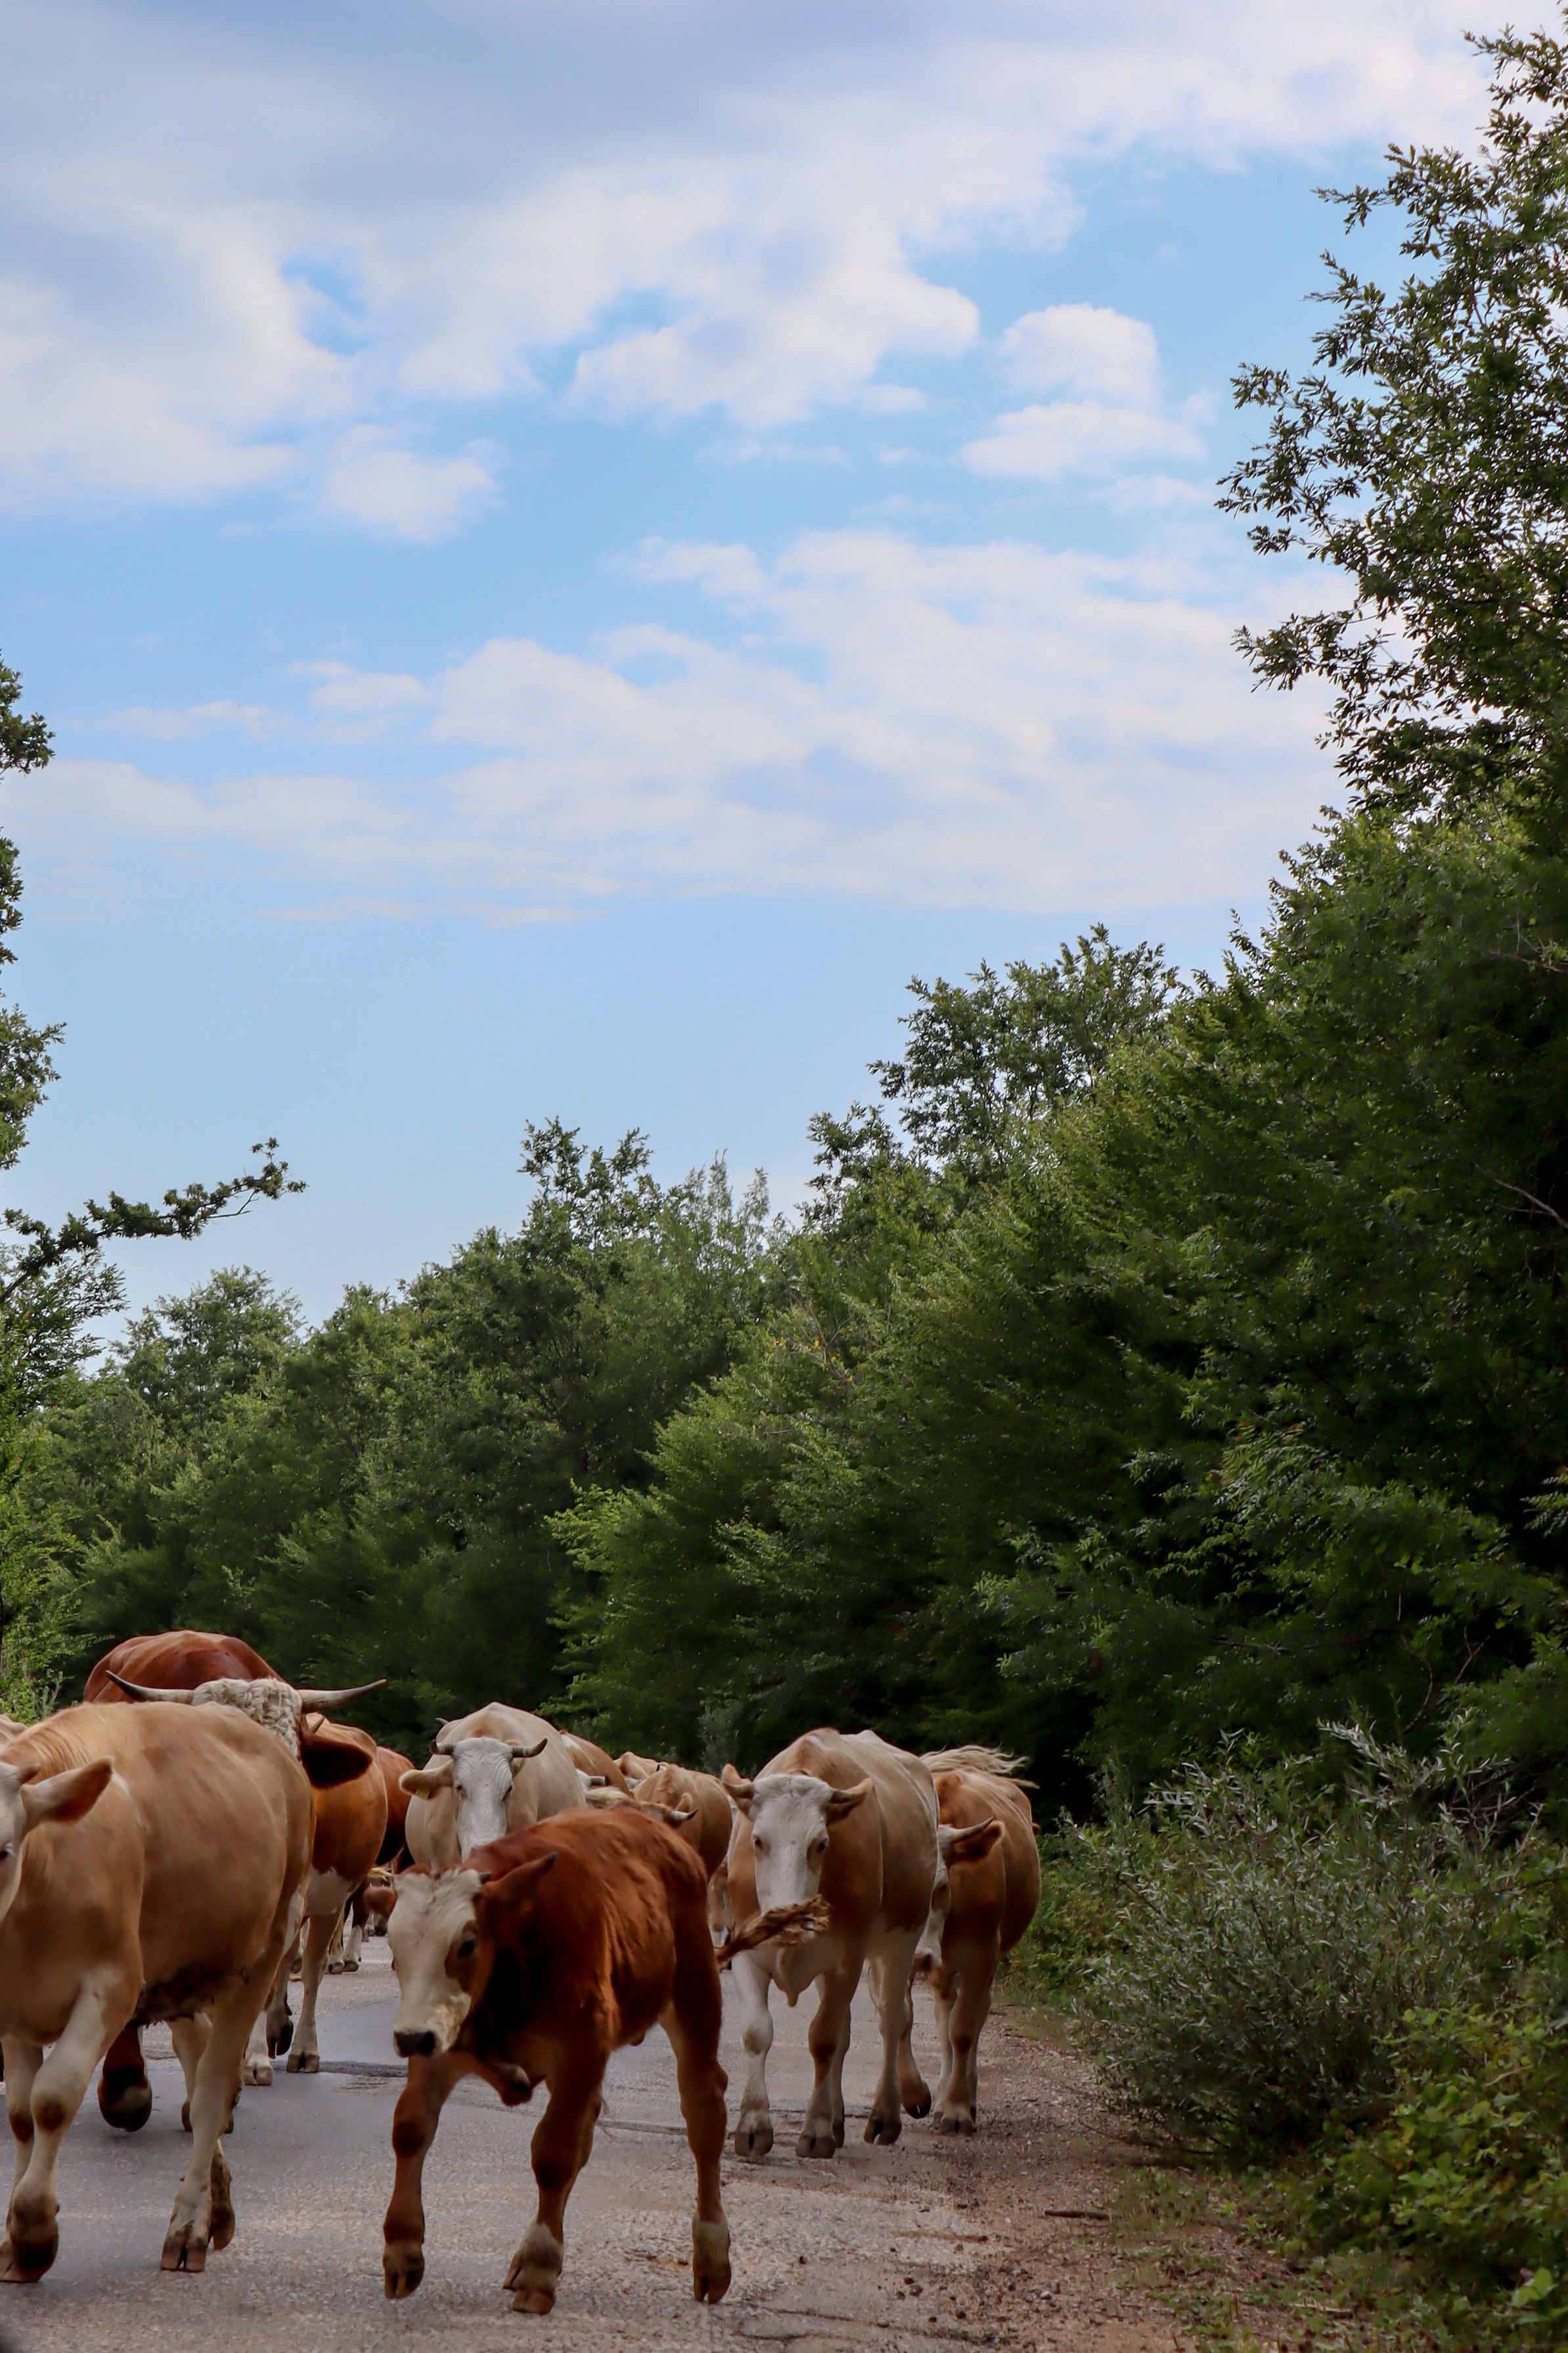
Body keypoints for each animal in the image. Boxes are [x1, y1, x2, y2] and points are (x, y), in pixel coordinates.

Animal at [0, 1700, 312, 2280]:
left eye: (3, 1850)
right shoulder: (11, 2005)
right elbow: (21, 2115)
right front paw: (13, 2239)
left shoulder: (115, 1984)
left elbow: (52, 2098)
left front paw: (33, 2231)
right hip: (180, 1969)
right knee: (197, 2051)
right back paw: (218, 2203)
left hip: (264, 1950)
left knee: (213, 2088)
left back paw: (189, 2227)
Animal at [382, 1808, 799, 2315]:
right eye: (393, 1948)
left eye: (466, 1944)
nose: (408, 2038)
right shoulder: (440, 2036)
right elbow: (410, 2127)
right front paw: (403, 2248)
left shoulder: (582, 2047)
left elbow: (554, 2153)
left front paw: (540, 2267)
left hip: (694, 1993)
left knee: (703, 2115)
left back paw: (712, 2256)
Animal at [722, 1728, 937, 2160]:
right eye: (757, 1840)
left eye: (821, 1843)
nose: (786, 1919)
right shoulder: (748, 1955)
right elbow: (757, 2032)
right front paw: (753, 2125)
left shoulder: (846, 1958)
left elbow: (823, 2039)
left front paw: (817, 2129)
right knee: (849, 2029)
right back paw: (839, 2120)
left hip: (901, 1940)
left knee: (892, 2019)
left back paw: (883, 2116)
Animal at [912, 1747, 1041, 2134]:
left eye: (939, 1886)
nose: (916, 1956)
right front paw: (938, 2101)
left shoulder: (983, 1952)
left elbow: (965, 2029)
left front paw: (957, 2110)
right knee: (944, 2018)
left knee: (976, 2014)